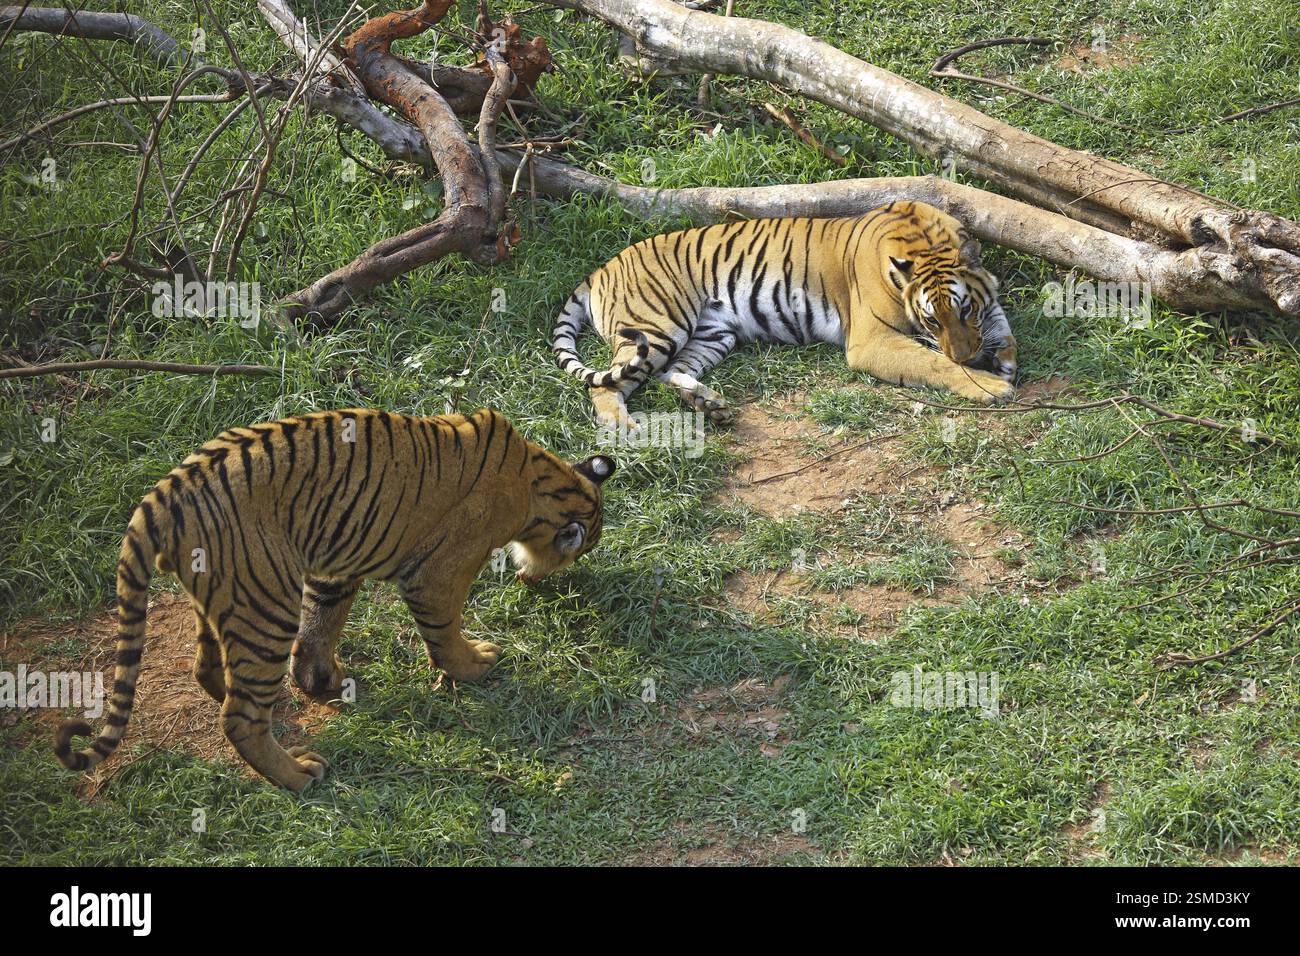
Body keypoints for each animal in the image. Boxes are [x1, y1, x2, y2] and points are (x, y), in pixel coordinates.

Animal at [54, 407, 616, 791]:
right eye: (583, 547)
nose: (545, 578)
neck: (543, 480)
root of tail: (161, 497)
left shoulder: (334, 561)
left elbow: (322, 622)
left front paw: (319, 681)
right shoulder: (438, 574)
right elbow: (444, 630)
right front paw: (475, 664)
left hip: (222, 596)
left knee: (211, 668)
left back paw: (276, 711)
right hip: (266, 603)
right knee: (239, 716)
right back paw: (298, 774)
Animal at [551, 200, 1017, 428]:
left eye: (965, 309)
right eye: (932, 320)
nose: (968, 355)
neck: (923, 240)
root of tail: (600, 268)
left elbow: (1003, 327)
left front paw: (1003, 359)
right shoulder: (871, 341)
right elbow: (934, 362)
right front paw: (990, 385)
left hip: (711, 335)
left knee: (670, 374)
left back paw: (708, 405)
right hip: (657, 328)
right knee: (605, 388)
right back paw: (629, 431)